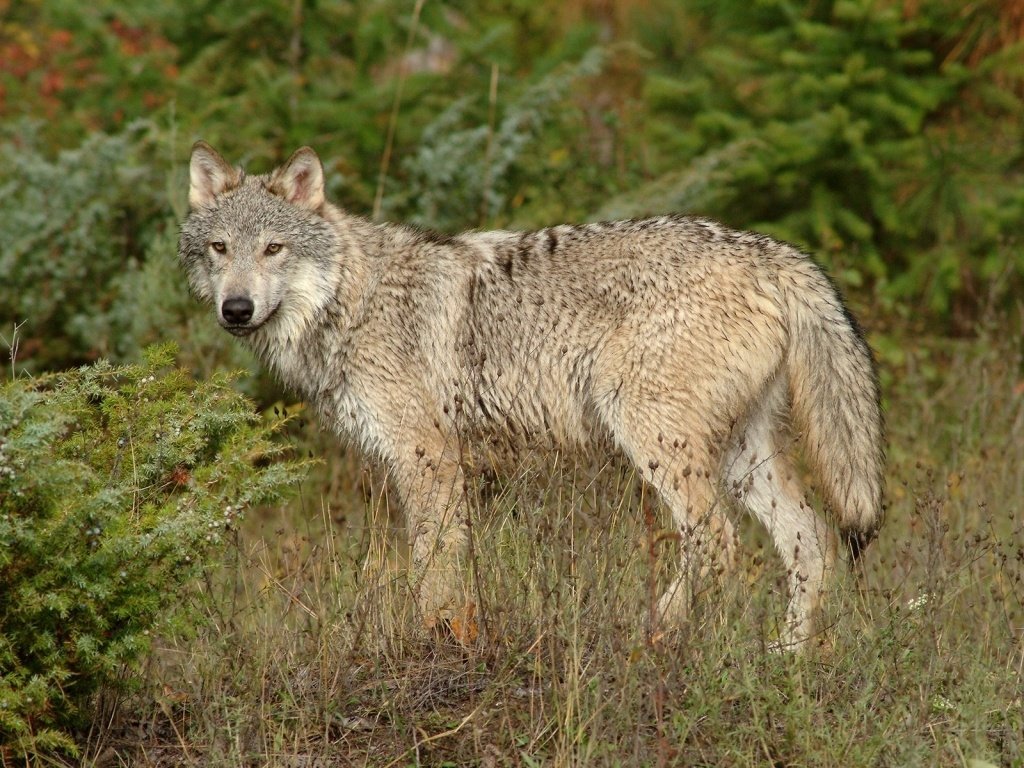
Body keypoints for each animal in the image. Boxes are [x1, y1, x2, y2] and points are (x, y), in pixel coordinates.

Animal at [179, 141, 884, 648]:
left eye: (274, 248)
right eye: (220, 249)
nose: (236, 310)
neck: (350, 301)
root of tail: (773, 252)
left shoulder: (428, 459)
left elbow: (432, 570)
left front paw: (431, 644)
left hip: (655, 440)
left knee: (717, 543)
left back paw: (658, 634)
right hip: (742, 459)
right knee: (813, 543)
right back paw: (785, 665)